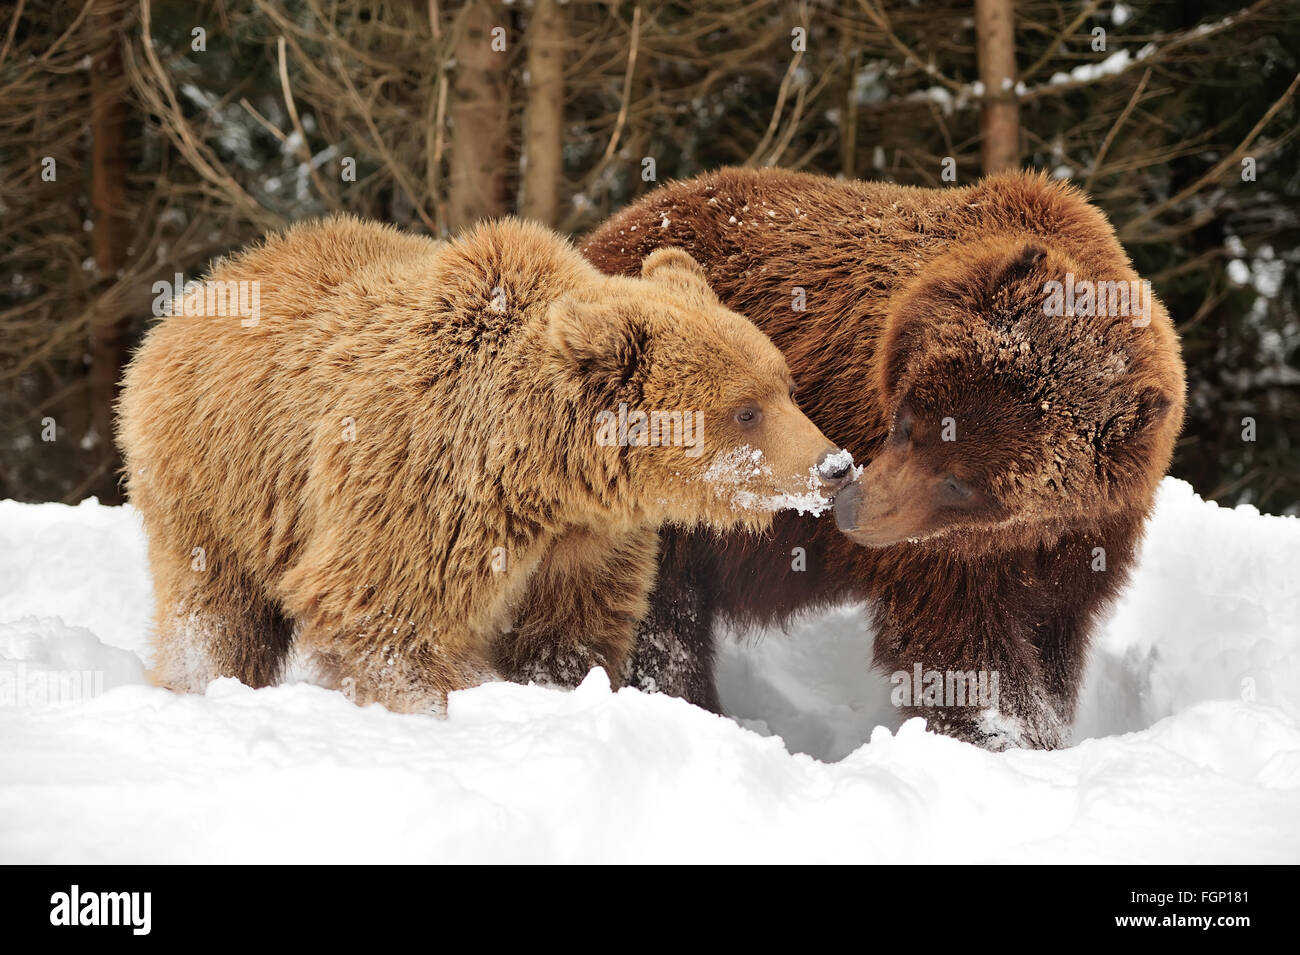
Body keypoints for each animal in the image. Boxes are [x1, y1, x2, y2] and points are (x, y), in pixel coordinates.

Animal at [117, 215, 856, 712]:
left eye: (785, 384)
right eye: (746, 409)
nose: (836, 465)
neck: (543, 473)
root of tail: (209, 285)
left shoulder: (586, 544)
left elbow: (566, 635)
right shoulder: (422, 489)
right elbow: (384, 616)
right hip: (218, 479)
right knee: (214, 611)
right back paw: (201, 686)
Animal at [580, 167, 1186, 750]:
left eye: (963, 482)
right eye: (907, 423)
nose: (852, 511)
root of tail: (608, 232)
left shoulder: (1082, 539)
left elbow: (1053, 633)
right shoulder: (940, 554)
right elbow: (964, 648)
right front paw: (1013, 739)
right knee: (658, 612)